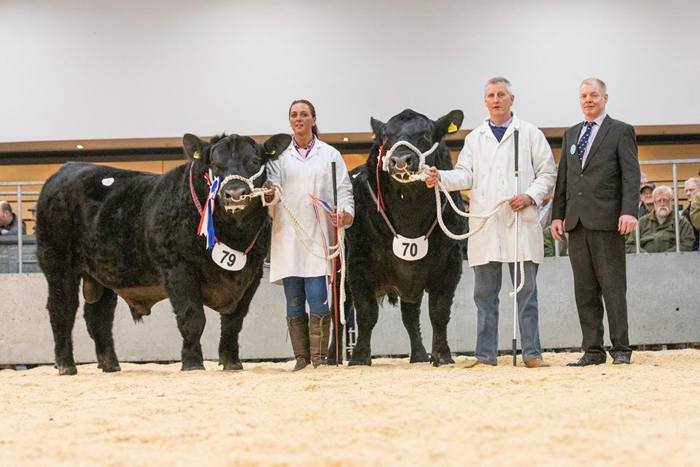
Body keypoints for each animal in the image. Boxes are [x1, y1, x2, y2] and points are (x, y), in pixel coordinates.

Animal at [35, 133, 291, 375]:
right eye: (215, 164)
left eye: (255, 161)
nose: (235, 192)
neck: (234, 233)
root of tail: (67, 168)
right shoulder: (178, 268)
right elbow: (192, 317)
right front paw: (192, 363)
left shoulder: (252, 275)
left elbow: (234, 322)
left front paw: (232, 362)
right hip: (58, 264)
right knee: (62, 310)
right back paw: (66, 365)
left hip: (103, 273)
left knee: (99, 317)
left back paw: (110, 364)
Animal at [328, 109, 466, 366]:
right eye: (385, 135)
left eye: (426, 133)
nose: (401, 160)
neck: (409, 214)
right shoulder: (358, 265)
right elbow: (366, 313)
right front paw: (359, 357)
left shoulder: (450, 265)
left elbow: (439, 312)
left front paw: (442, 355)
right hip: (340, 270)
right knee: (339, 310)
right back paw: (331, 358)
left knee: (410, 315)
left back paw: (419, 355)